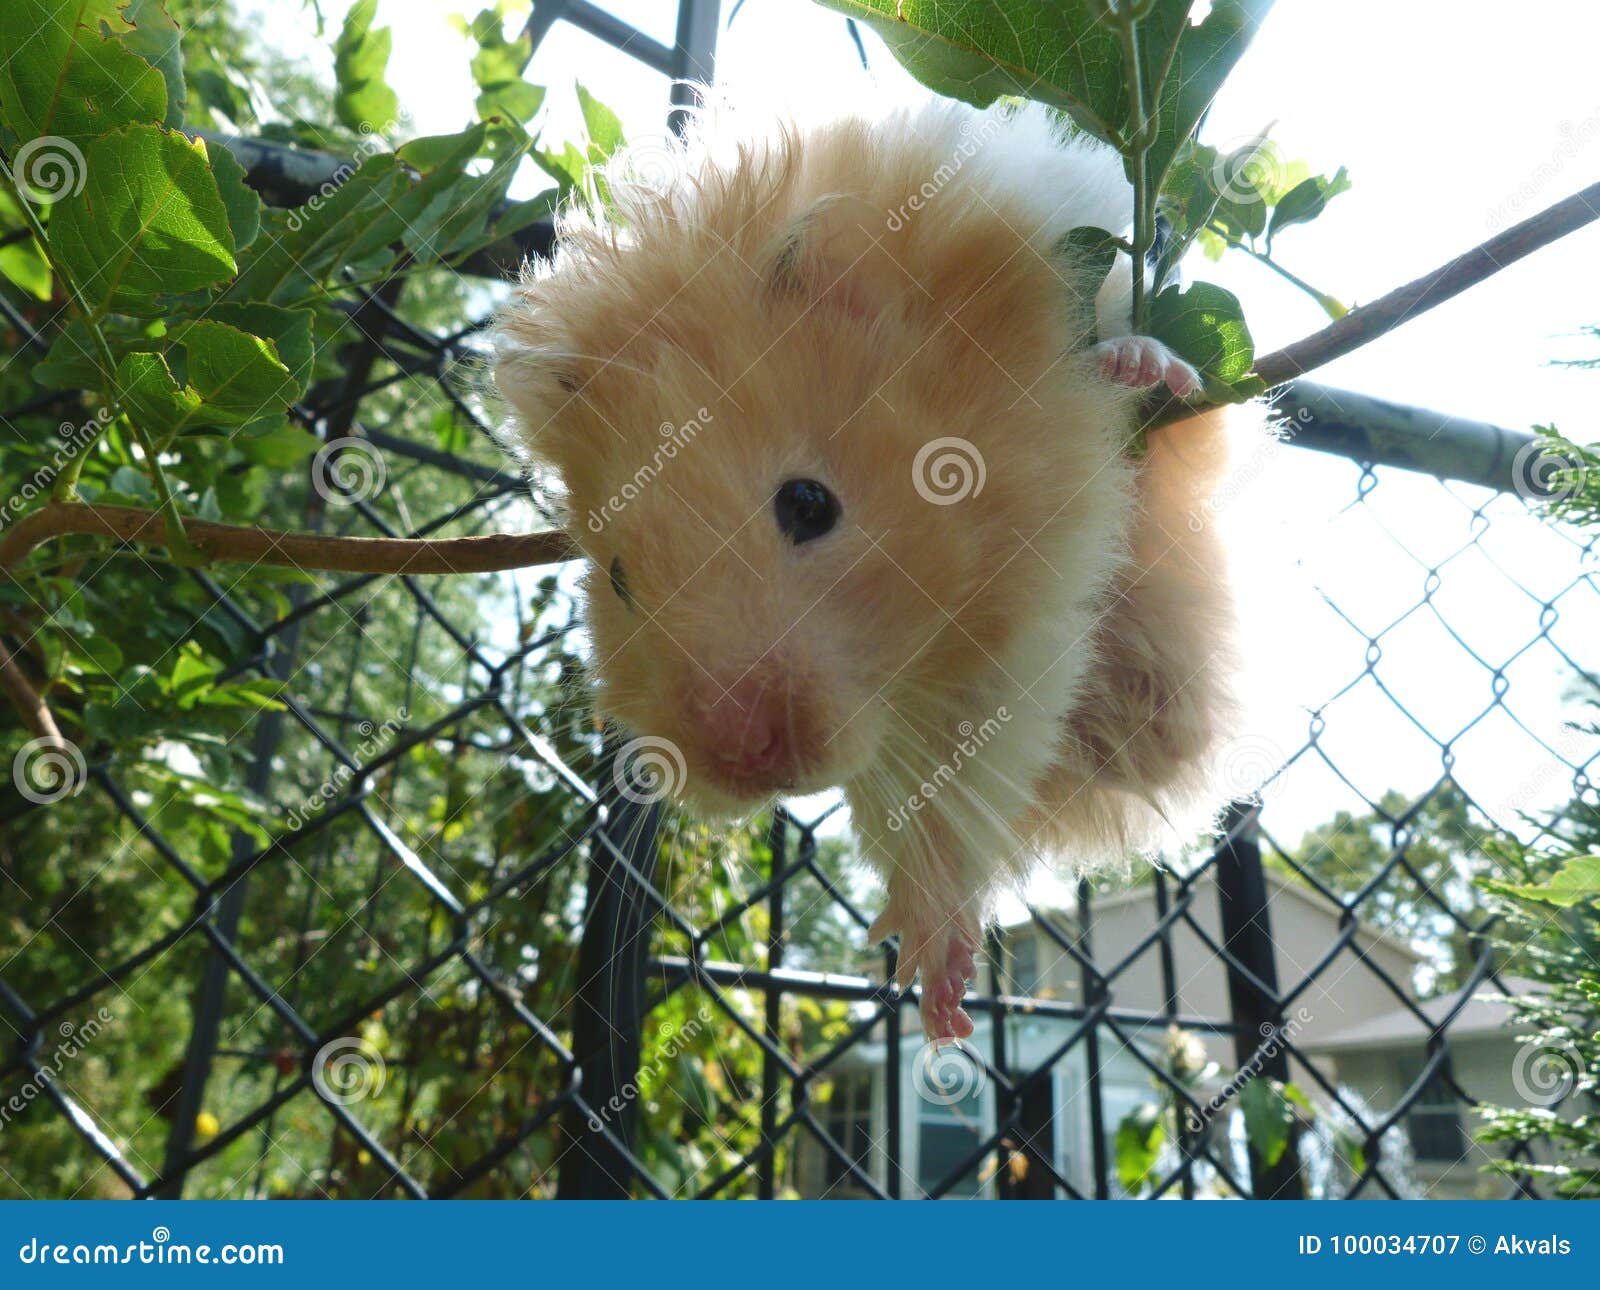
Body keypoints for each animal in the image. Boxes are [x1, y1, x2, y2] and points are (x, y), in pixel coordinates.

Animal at [493, 98, 1259, 1040]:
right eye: (618, 579)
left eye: (809, 504)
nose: (740, 757)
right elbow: (927, 812)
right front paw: (940, 1002)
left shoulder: (1029, 605)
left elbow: (966, 775)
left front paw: (944, 995)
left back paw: (1145, 367)